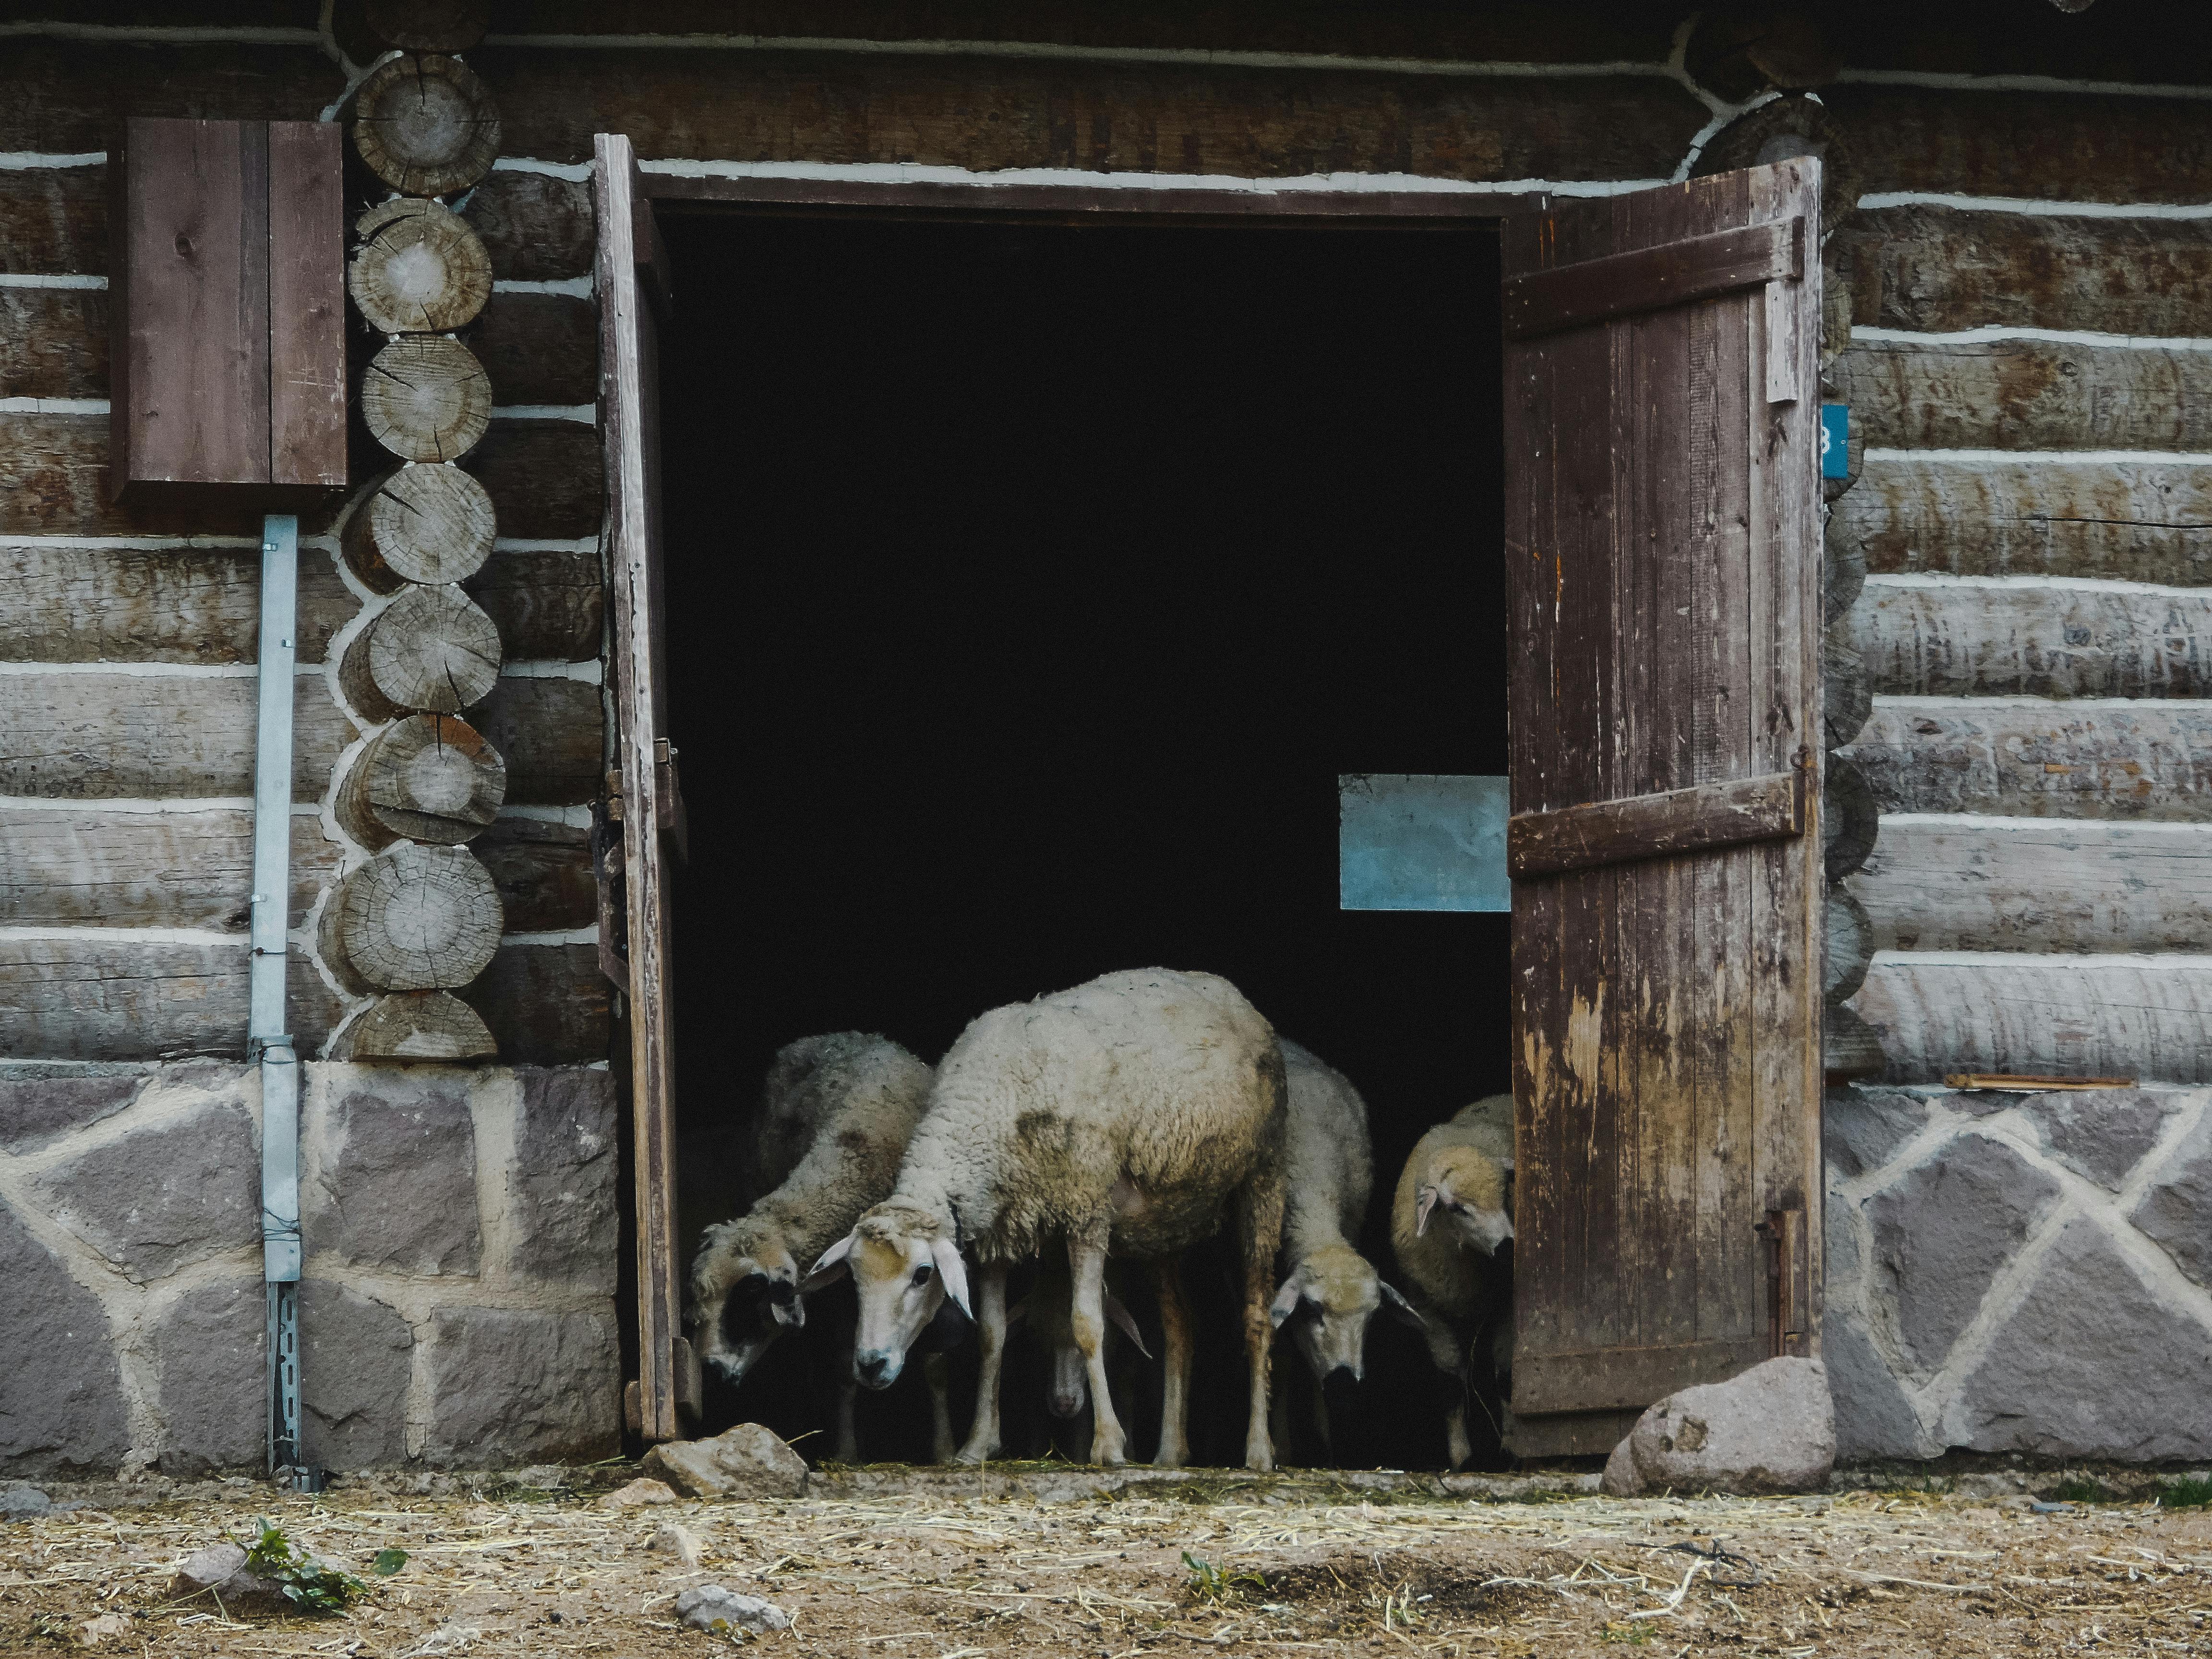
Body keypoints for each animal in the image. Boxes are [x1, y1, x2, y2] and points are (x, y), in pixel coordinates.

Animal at [686, 1032, 954, 1461]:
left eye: (750, 1294)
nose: (711, 1370)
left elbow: (936, 1362)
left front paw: (944, 1452)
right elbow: (843, 1368)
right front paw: (845, 1453)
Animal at [806, 968, 1288, 1471]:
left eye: (922, 1275)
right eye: (854, 1278)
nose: (870, 1365)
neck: (988, 1106)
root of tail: (1222, 987)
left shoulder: (1087, 1212)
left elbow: (1087, 1325)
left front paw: (1108, 1446)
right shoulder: (997, 1231)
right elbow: (992, 1334)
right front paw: (977, 1445)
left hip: (1264, 1172)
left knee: (1257, 1314)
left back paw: (1258, 1451)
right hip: (1166, 1216)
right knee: (1179, 1323)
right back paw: (1171, 1453)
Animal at [1391, 1094, 1516, 1469]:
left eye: (1504, 1191)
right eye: (1457, 1208)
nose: (1509, 1248)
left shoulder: (1508, 1306)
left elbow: (1505, 1374)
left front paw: (1510, 1450)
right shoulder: (1430, 1312)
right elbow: (1451, 1382)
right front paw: (1461, 1459)